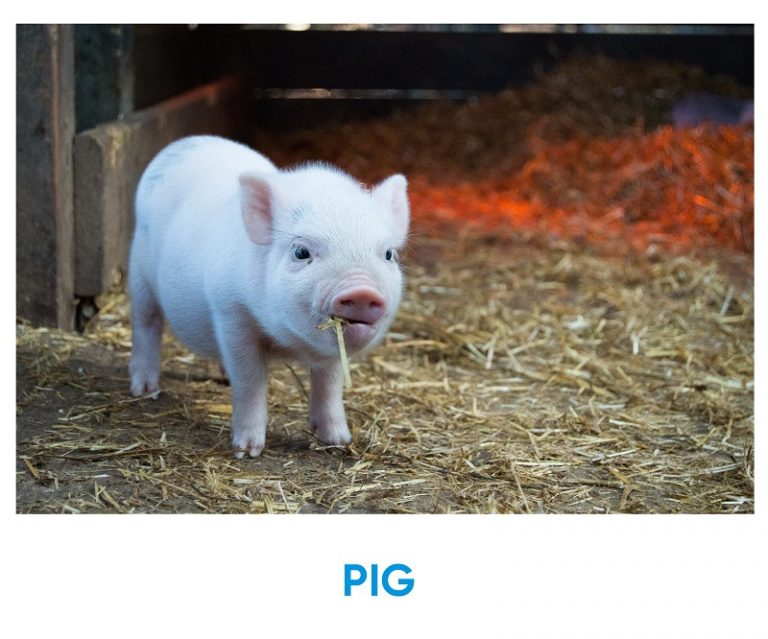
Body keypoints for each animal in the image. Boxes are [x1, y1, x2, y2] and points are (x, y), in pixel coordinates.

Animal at [128, 135, 409, 458]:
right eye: (301, 252)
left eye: (388, 254)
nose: (361, 290)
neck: (288, 342)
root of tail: (184, 143)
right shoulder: (231, 313)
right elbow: (250, 380)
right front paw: (247, 451)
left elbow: (329, 383)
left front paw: (339, 441)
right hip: (139, 272)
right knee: (146, 323)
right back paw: (144, 390)